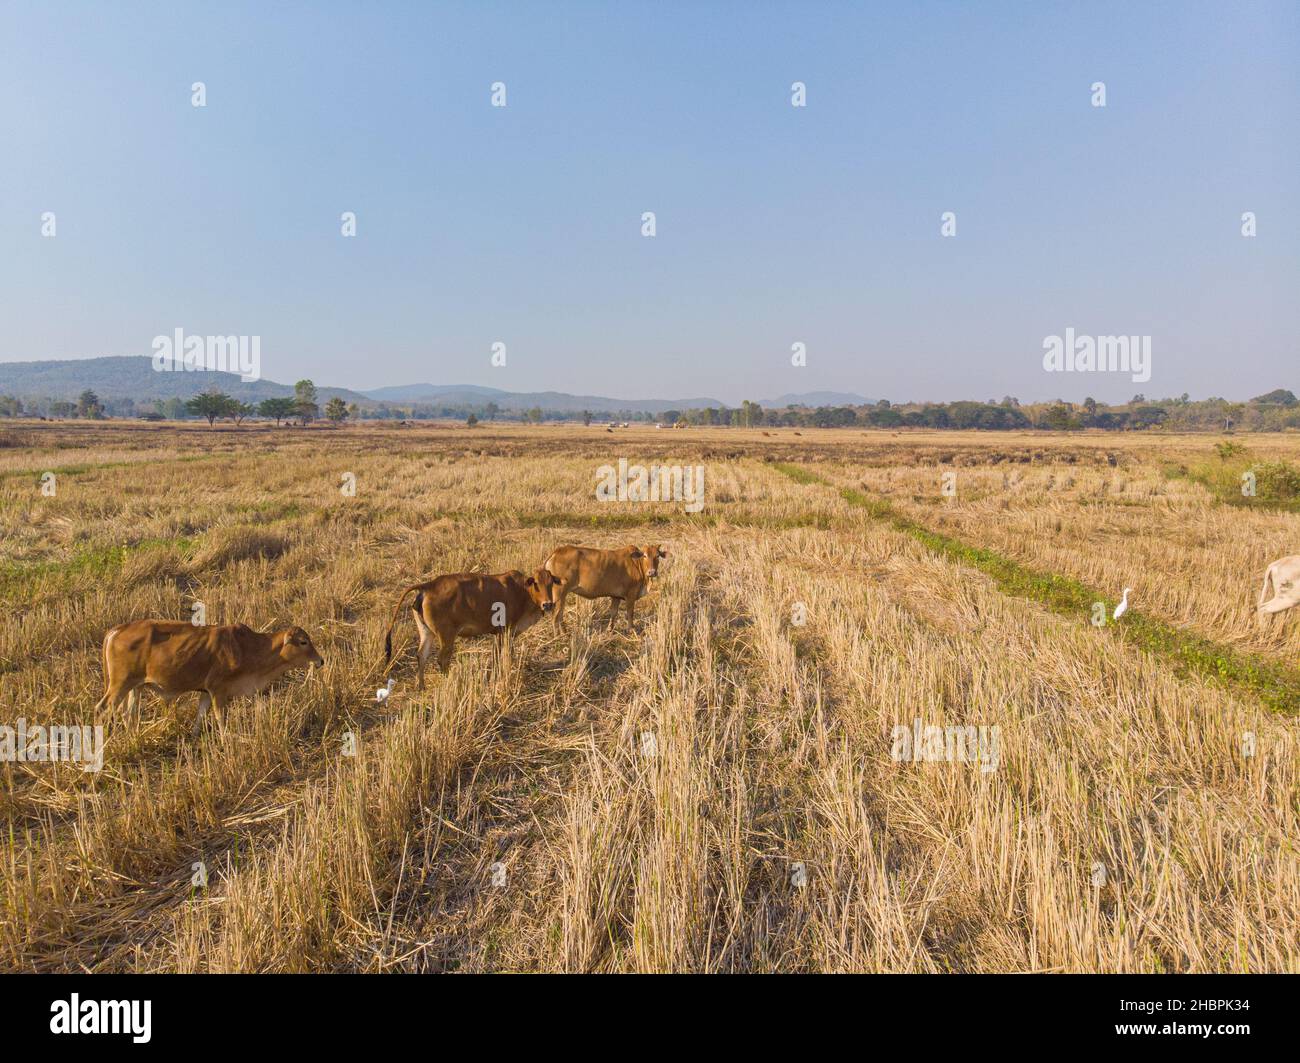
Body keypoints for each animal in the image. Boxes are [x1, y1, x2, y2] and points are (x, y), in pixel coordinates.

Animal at [93, 621, 324, 734]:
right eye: (303, 642)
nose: (320, 661)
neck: (248, 648)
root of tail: (116, 630)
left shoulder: (205, 692)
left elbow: (200, 716)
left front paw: (195, 735)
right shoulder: (218, 691)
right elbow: (221, 719)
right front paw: (226, 740)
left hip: (135, 686)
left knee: (128, 714)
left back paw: (134, 737)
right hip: (119, 685)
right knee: (102, 709)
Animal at [383, 567, 563, 688]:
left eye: (551, 583)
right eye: (536, 584)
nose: (547, 604)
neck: (523, 591)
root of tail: (429, 585)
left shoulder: (501, 634)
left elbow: (499, 655)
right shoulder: (506, 631)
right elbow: (504, 655)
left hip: (427, 633)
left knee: (422, 656)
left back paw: (421, 686)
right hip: (447, 636)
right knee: (442, 660)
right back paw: (448, 683)